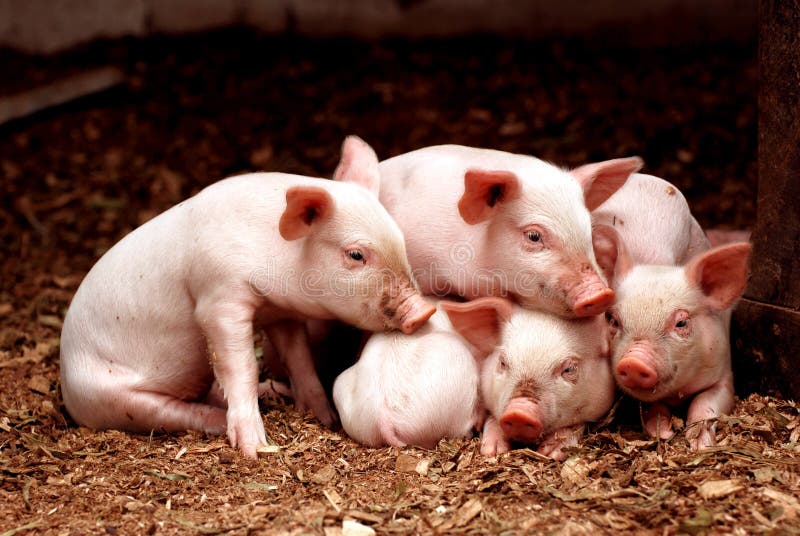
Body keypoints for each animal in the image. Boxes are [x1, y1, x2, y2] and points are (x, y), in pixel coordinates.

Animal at [59, 137, 435, 459]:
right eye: (355, 255)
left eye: (400, 240)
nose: (424, 311)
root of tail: (66, 383)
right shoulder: (217, 299)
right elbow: (239, 365)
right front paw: (255, 449)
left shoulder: (282, 313)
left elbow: (300, 359)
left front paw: (324, 417)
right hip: (114, 398)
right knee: (171, 412)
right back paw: (220, 422)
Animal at [334, 297, 615, 461]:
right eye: (503, 362)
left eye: (569, 369)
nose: (519, 412)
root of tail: (383, 417)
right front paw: (492, 452)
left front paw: (551, 453)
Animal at [591, 173, 752, 450]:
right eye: (613, 321)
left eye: (681, 323)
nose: (633, 362)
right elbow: (651, 406)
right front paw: (664, 433)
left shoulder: (724, 372)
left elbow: (707, 403)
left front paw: (699, 444)